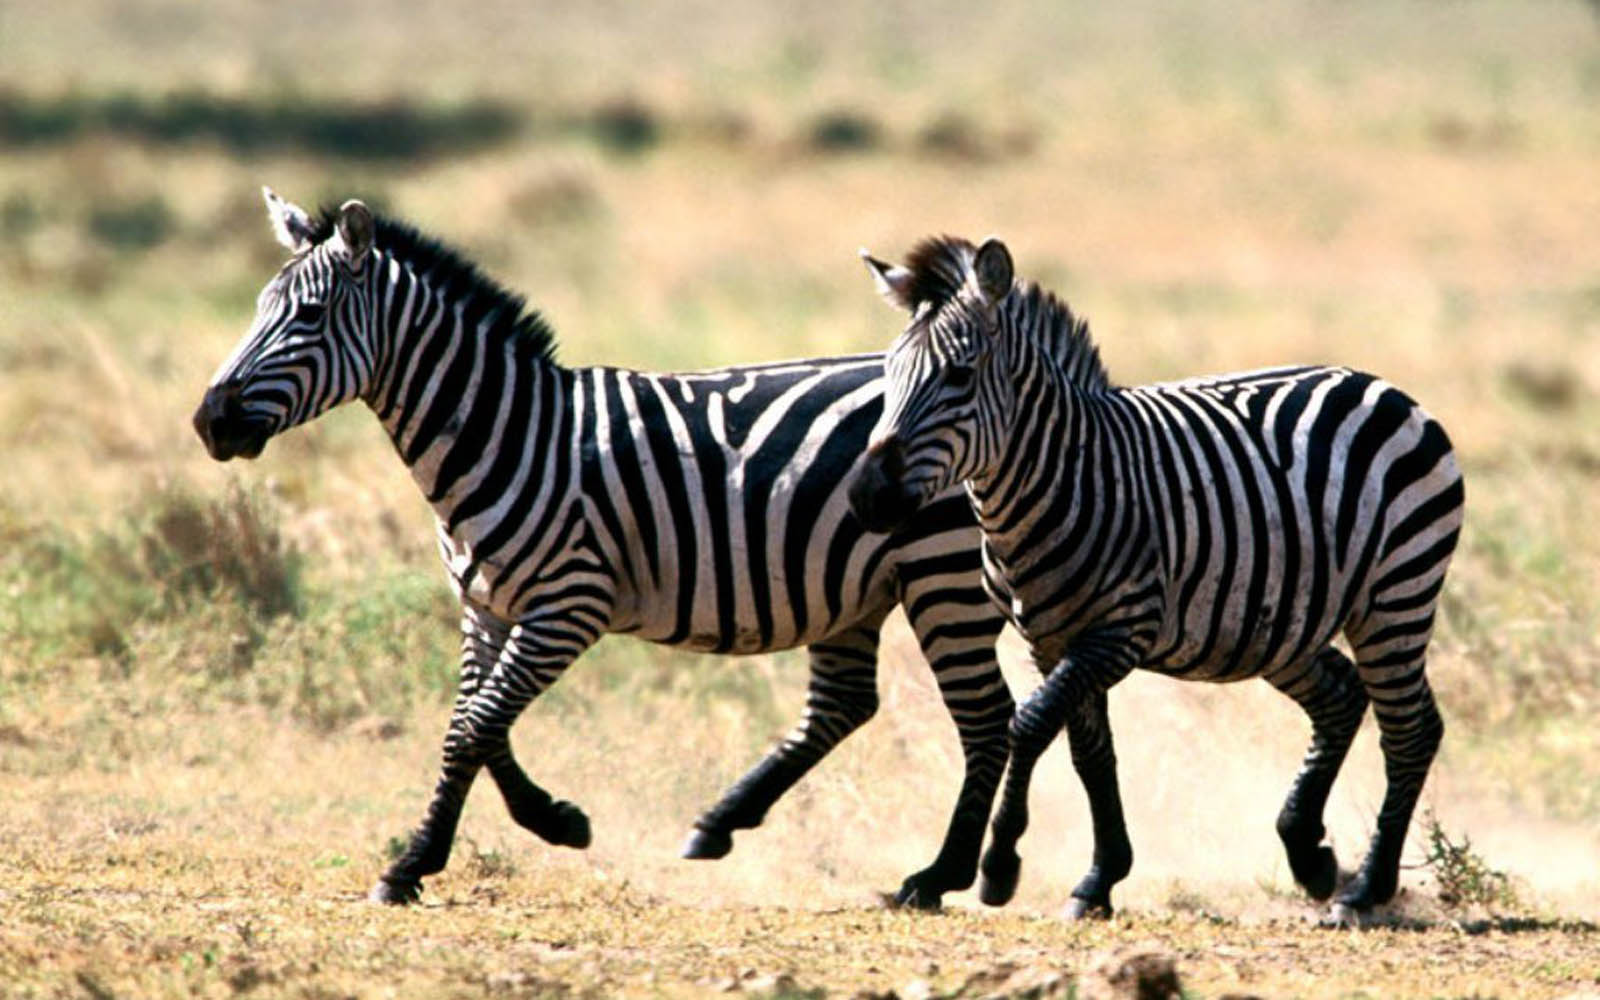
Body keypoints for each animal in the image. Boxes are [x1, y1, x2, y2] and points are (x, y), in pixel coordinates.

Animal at [191, 190, 1014, 909]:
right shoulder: (485, 607)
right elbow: (474, 724)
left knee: (984, 715)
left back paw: (940, 876)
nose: (209, 421)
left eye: (308, 315)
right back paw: (719, 824)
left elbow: (477, 726)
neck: (509, 434)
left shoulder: (569, 606)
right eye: (258, 309)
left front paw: (414, 863)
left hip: (941, 575)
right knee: (842, 706)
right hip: (852, 588)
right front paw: (553, 820)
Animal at [847, 235, 1464, 924]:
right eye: (887, 373)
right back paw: (1309, 853)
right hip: (1279, 624)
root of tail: (1379, 384)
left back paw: (1364, 890)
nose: (866, 496)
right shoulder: (1051, 641)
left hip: (1396, 596)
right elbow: (1090, 754)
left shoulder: (1120, 631)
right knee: (1342, 697)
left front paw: (999, 866)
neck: (1061, 479)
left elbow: (1029, 723)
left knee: (1411, 730)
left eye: (959, 375)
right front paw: (1099, 879)